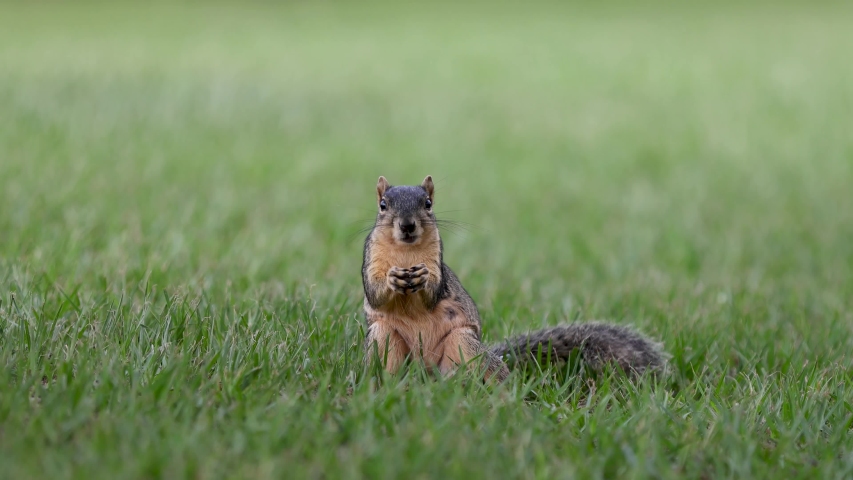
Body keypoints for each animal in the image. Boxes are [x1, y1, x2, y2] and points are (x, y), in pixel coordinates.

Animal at [361, 175, 666, 382]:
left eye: (428, 203)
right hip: (383, 338)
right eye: (383, 205)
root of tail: (425, 373)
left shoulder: (437, 261)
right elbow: (374, 293)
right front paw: (392, 280)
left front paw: (423, 279)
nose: (407, 226)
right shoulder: (370, 259)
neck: (406, 253)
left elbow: (433, 292)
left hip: (462, 342)